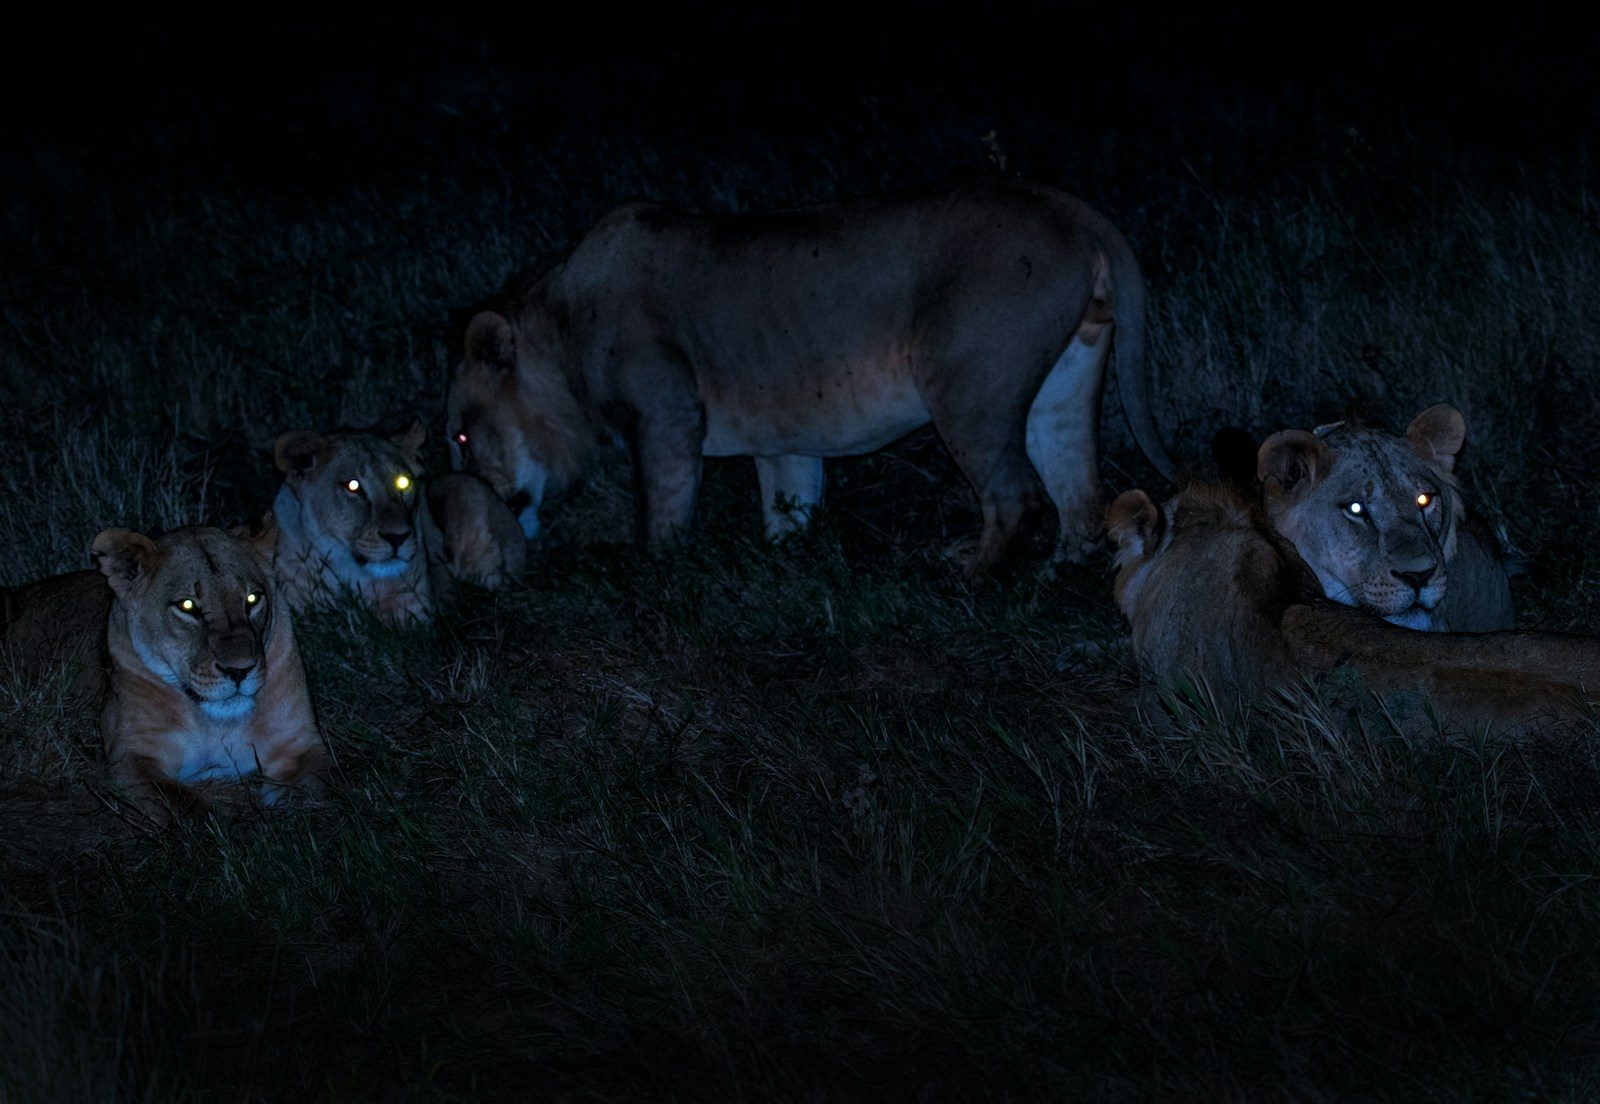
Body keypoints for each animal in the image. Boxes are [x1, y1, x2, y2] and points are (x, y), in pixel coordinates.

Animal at [0, 526, 329, 819]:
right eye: (187, 606)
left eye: (252, 599)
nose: (240, 671)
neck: (216, 722)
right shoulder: (132, 759)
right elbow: (185, 807)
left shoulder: (300, 746)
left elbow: (322, 788)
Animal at [446, 179, 1177, 575]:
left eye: (460, 438)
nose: (470, 507)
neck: (561, 325)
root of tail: (1074, 208)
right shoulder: (783, 441)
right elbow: (787, 506)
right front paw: (784, 563)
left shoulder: (666, 414)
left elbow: (662, 509)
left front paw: (658, 574)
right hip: (1066, 382)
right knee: (1079, 494)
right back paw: (1052, 580)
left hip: (968, 384)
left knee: (1016, 495)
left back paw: (968, 579)